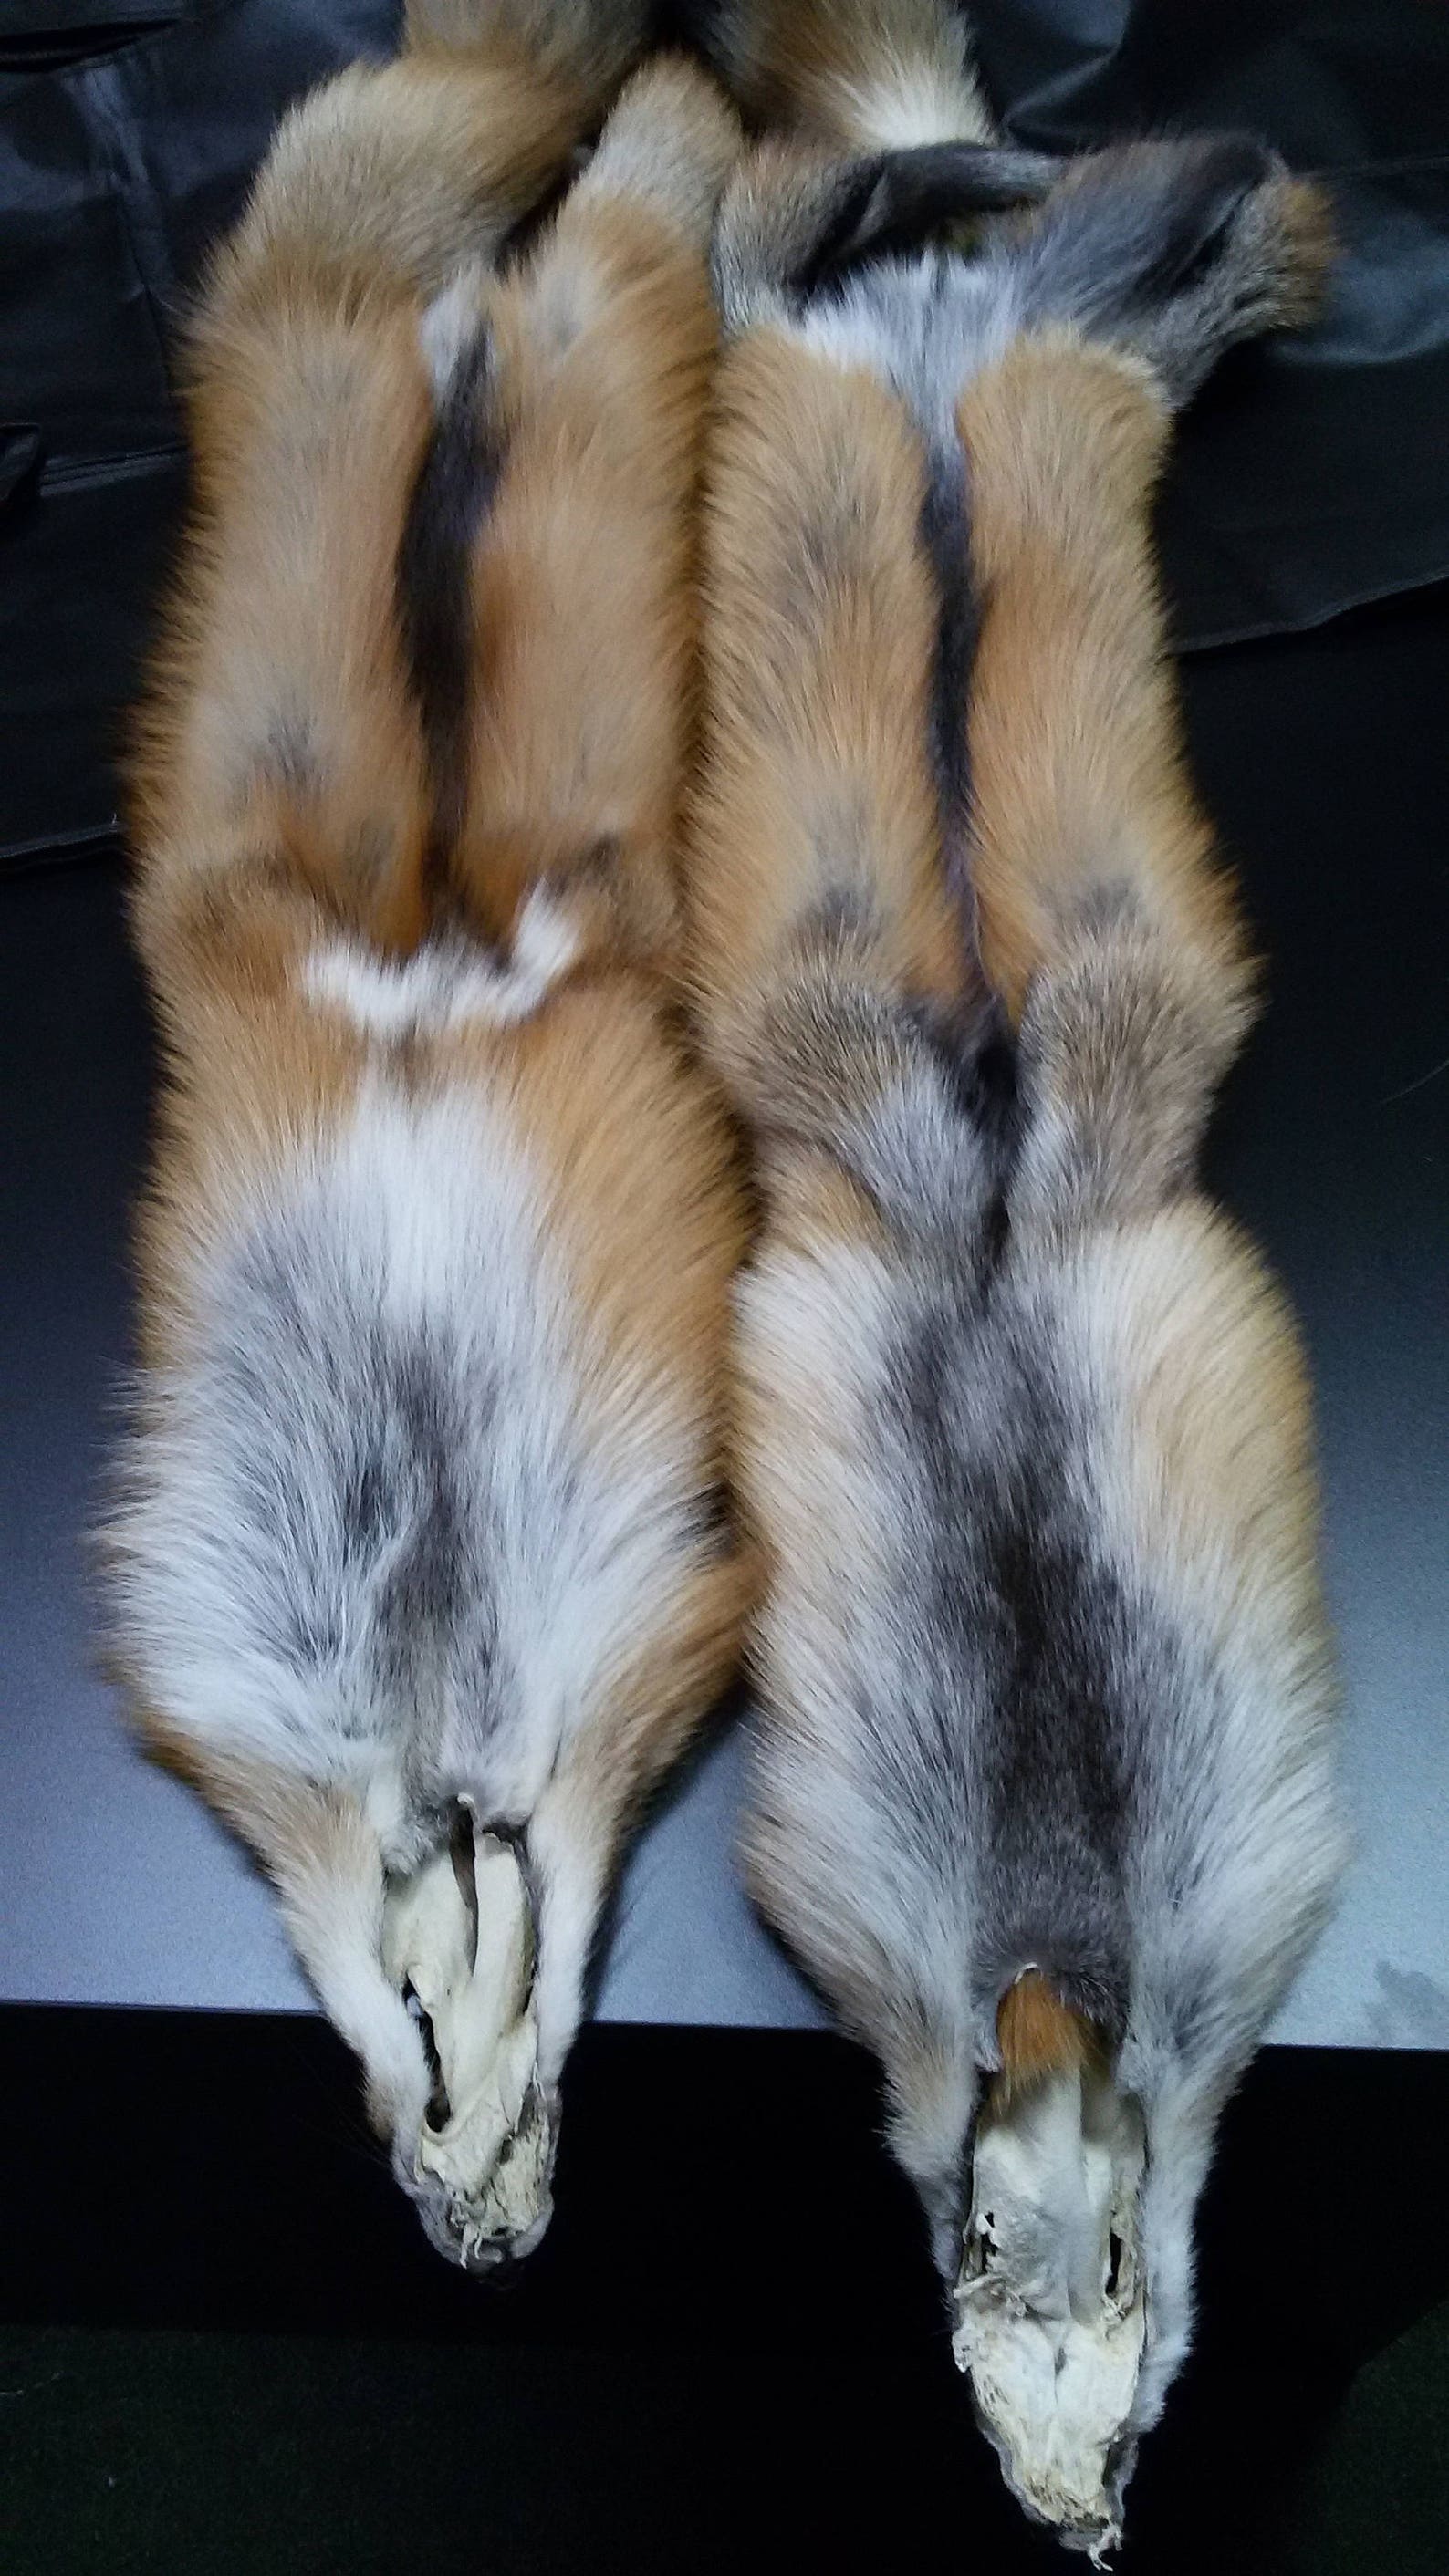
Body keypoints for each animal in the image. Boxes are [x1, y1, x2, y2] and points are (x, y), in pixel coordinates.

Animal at [108, 1, 750, 2275]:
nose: (494, 2241)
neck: (427, 1731)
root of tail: (431, 957)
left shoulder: (577, 1725)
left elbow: (505, 1971)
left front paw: (481, 2129)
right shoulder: (337, 1772)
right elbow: (419, 1989)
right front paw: (449, 2124)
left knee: (532, 215)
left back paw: (663, 98)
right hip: (340, 656)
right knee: (504, 234)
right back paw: (655, 106)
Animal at [686, 8, 1345, 2550]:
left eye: (1126, 2338)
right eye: (974, 2289)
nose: (1075, 2512)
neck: (1060, 1924)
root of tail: (942, 362)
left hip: (1028, 480)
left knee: (967, 260)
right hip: (825, 479)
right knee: (802, 246)